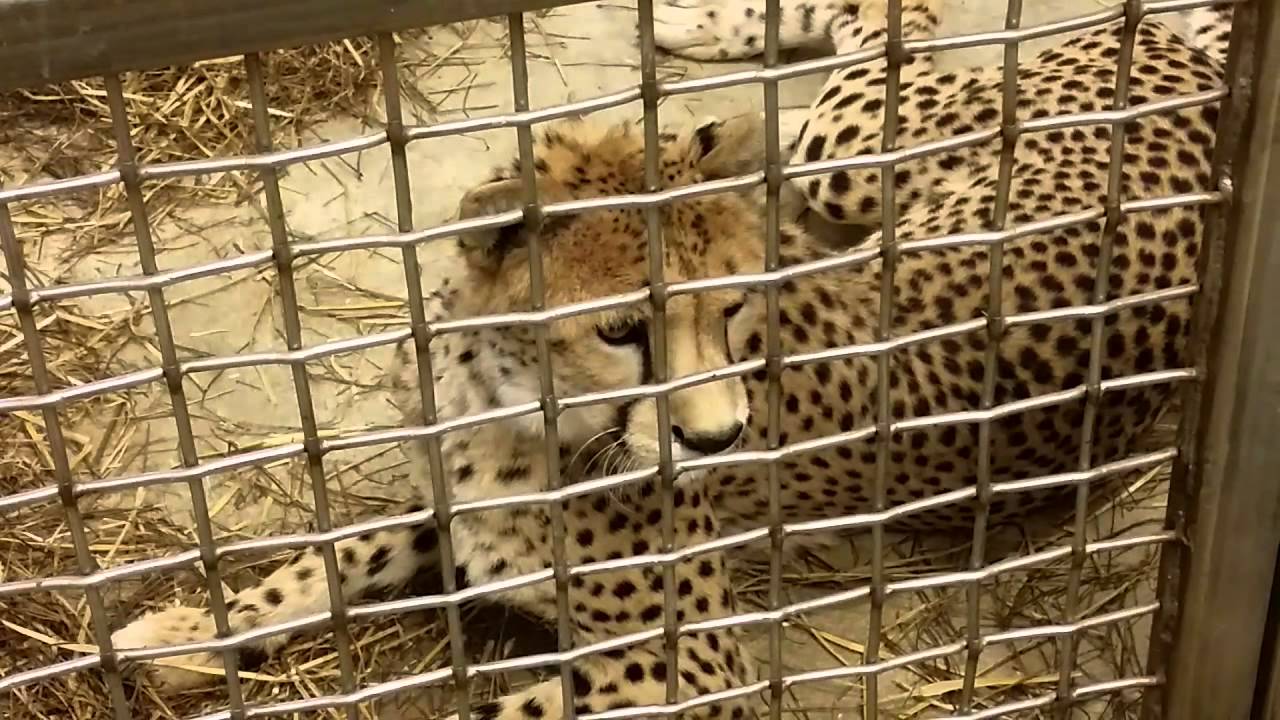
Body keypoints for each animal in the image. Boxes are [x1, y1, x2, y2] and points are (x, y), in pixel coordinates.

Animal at [109, 1, 1234, 718]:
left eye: (730, 310)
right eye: (620, 331)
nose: (719, 438)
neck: (505, 402)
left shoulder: (686, 664)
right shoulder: (449, 507)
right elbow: (329, 559)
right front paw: (185, 631)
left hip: (844, 158)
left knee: (889, 33)